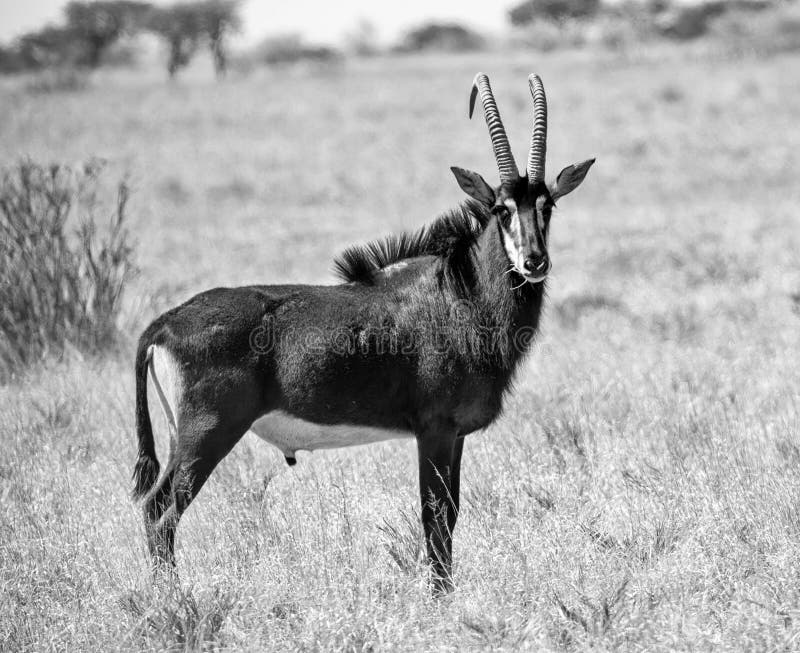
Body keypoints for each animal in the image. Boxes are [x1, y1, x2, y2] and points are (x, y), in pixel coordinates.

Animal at [132, 72, 594, 592]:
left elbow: (452, 514)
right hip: (205, 434)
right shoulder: (433, 430)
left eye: (548, 205)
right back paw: (172, 598)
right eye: (501, 208)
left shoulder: (455, 435)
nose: (534, 262)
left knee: (156, 508)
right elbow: (434, 515)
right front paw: (440, 597)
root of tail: (164, 324)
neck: (462, 294)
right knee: (161, 513)